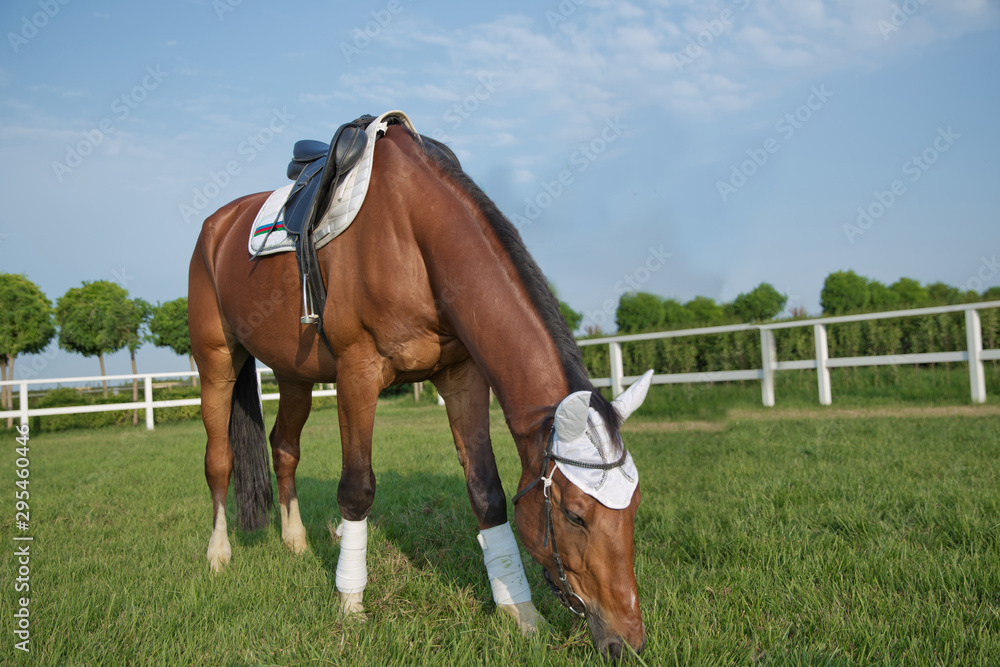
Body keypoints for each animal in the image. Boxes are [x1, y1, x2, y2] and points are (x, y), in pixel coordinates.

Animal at [188, 119, 651, 659]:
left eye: (635, 506)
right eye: (576, 516)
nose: (628, 640)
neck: (414, 234)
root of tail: (216, 225)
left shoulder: (463, 377)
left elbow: (486, 493)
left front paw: (519, 611)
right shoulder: (358, 373)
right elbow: (357, 490)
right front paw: (350, 605)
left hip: (294, 374)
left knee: (283, 448)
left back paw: (296, 540)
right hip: (216, 363)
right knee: (219, 461)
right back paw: (219, 554)